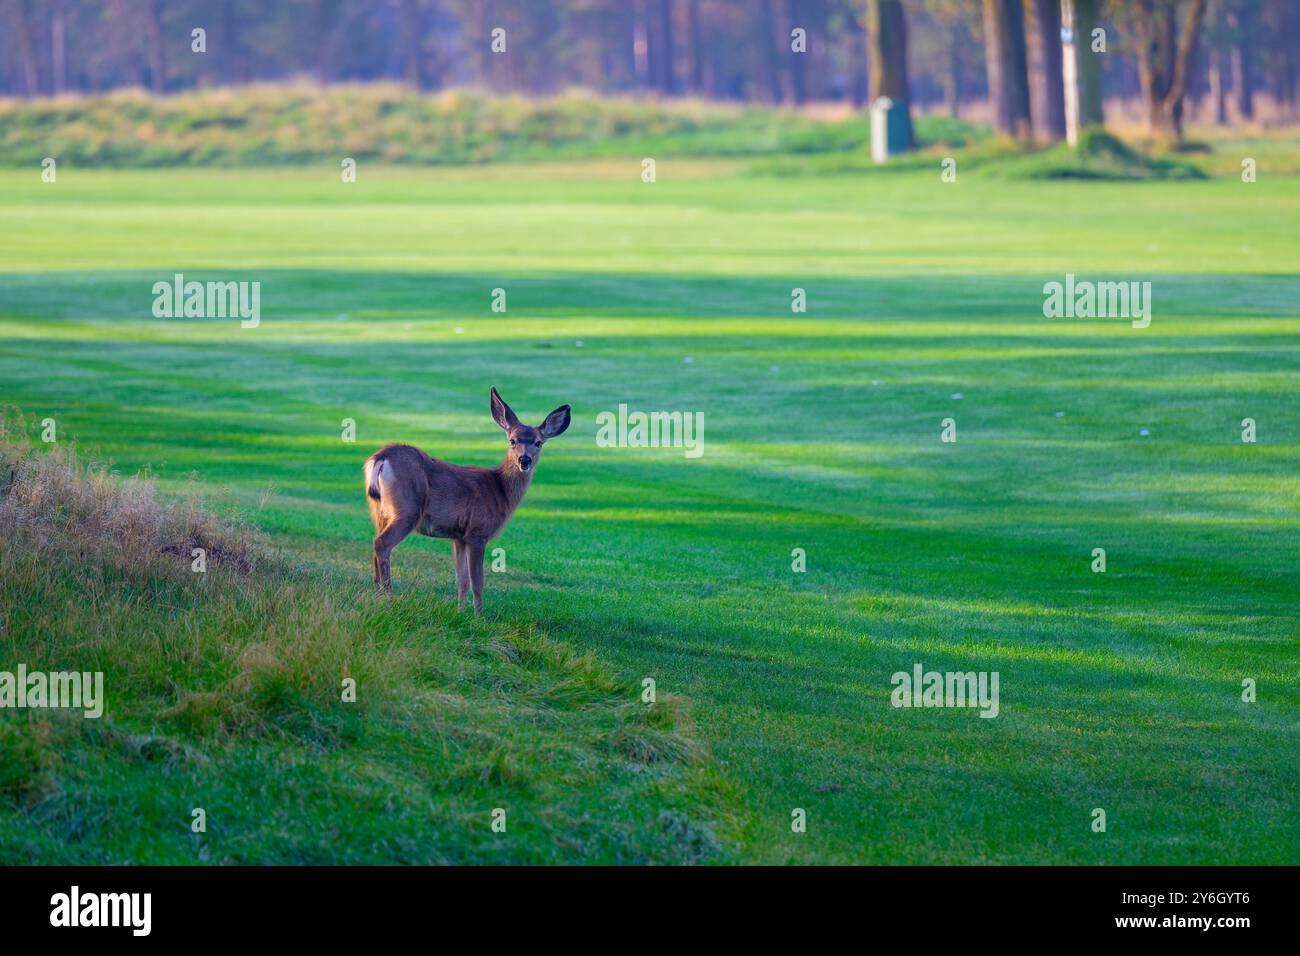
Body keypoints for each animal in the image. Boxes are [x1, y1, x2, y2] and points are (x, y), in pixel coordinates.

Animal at [363, 387, 571, 611]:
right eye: (512, 440)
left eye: (538, 443)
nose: (525, 460)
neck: (500, 490)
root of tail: (381, 458)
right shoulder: (477, 532)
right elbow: (477, 581)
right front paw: (479, 614)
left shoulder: (458, 535)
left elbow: (461, 580)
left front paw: (460, 611)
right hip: (408, 509)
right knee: (382, 543)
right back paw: (388, 599)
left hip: (379, 510)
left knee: (375, 543)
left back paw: (376, 597)